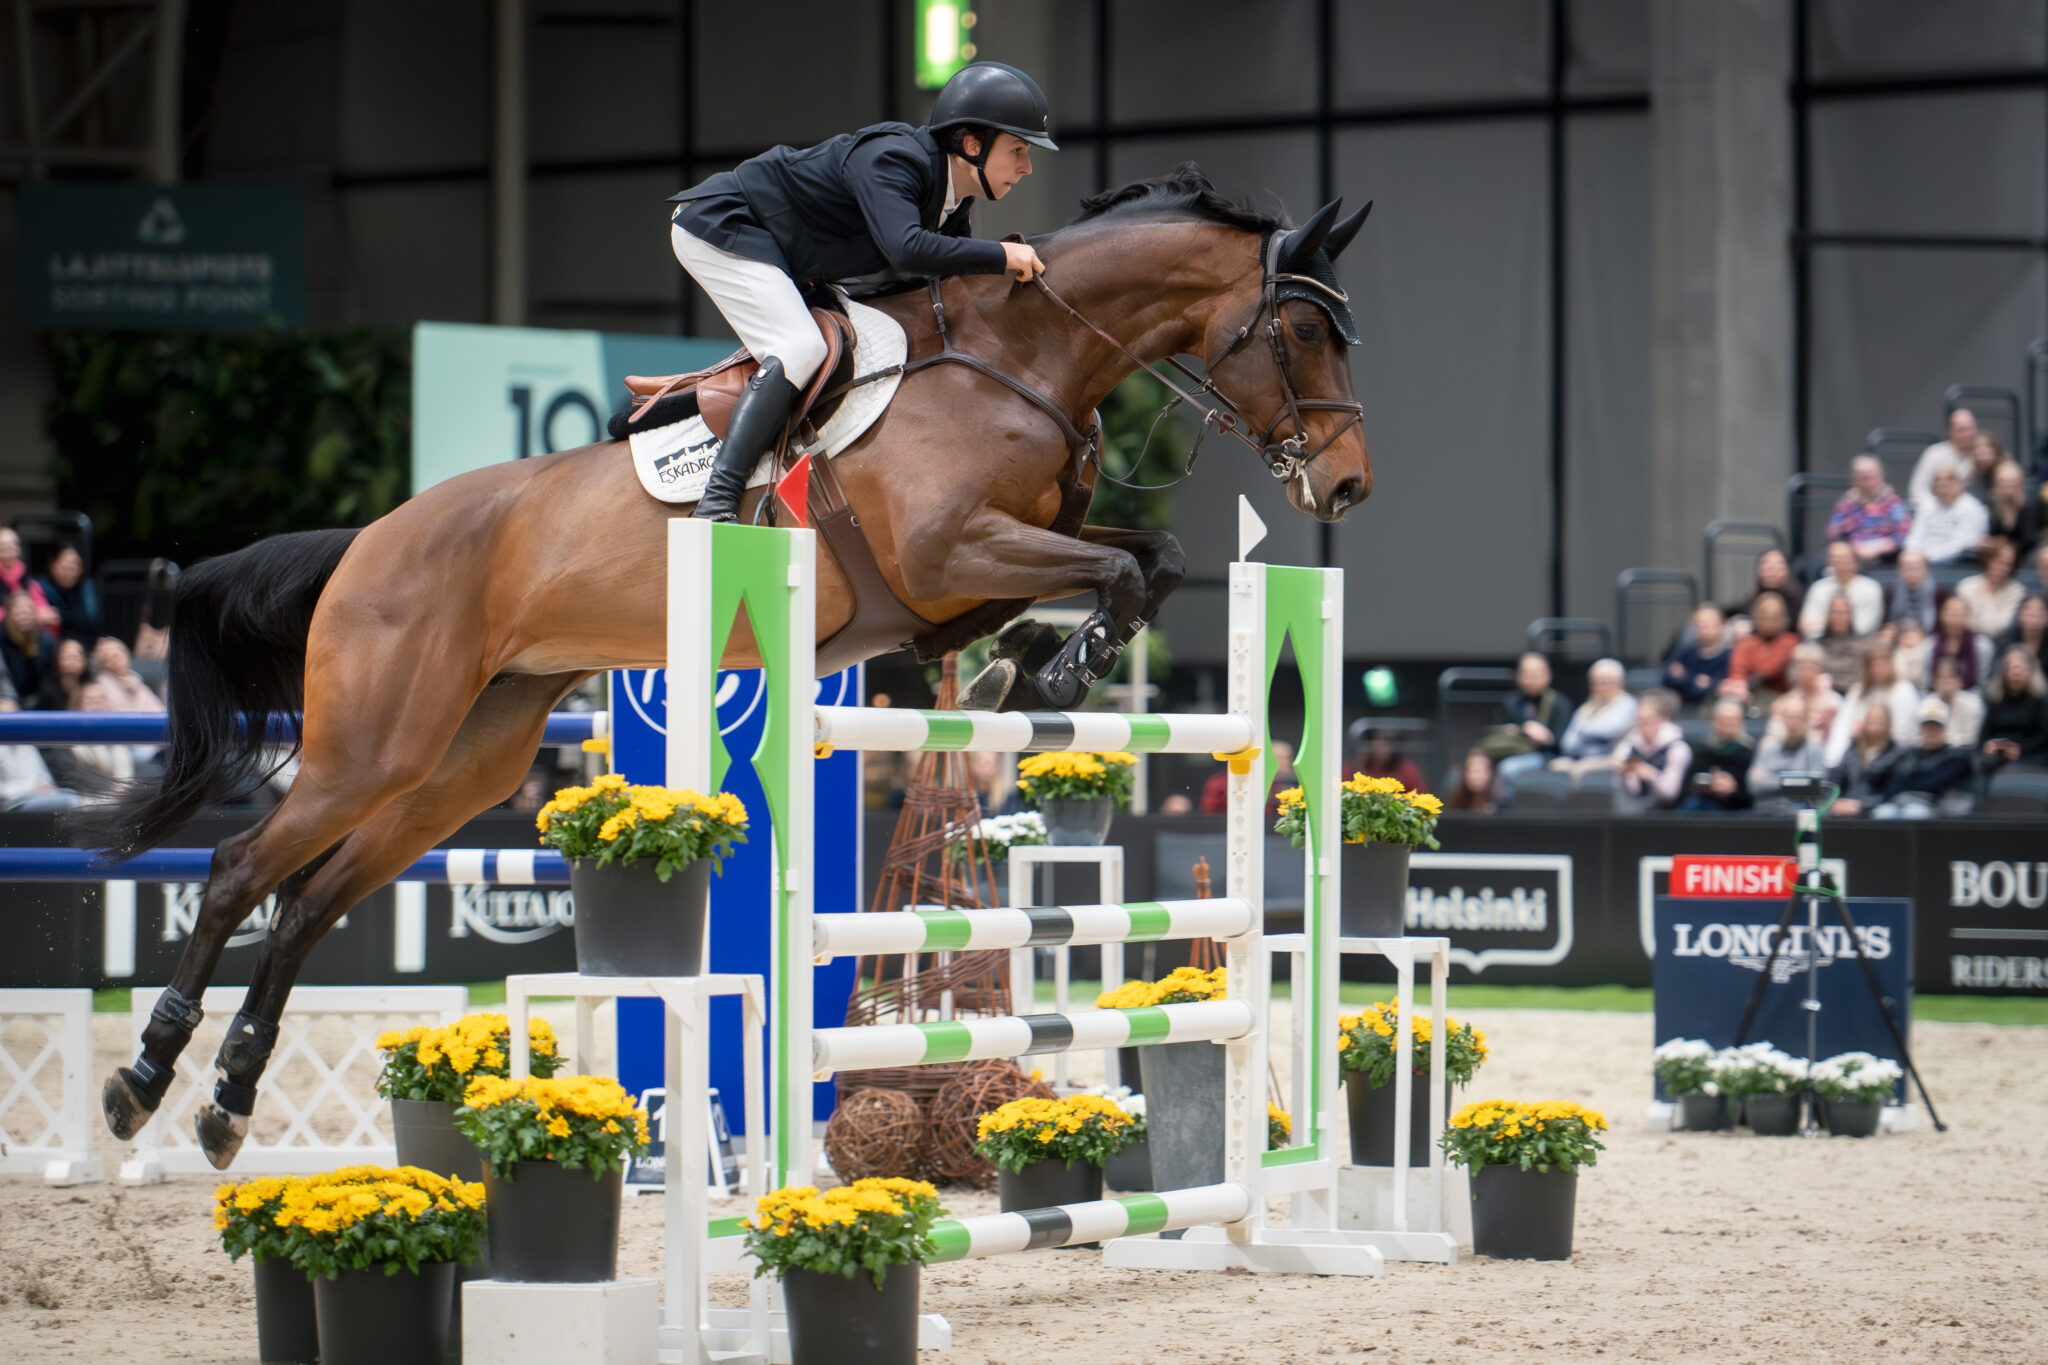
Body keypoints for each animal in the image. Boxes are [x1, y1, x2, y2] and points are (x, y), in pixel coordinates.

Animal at [91, 165, 1375, 1167]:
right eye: (1307, 330)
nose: (1348, 487)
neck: (1019, 355)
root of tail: (367, 538)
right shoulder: (948, 550)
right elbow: (1113, 572)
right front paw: (1058, 674)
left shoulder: (977, 572)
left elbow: (1146, 562)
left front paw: (1029, 672)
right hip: (373, 742)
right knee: (240, 868)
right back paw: (144, 1078)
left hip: (463, 760)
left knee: (309, 900)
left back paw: (226, 1103)